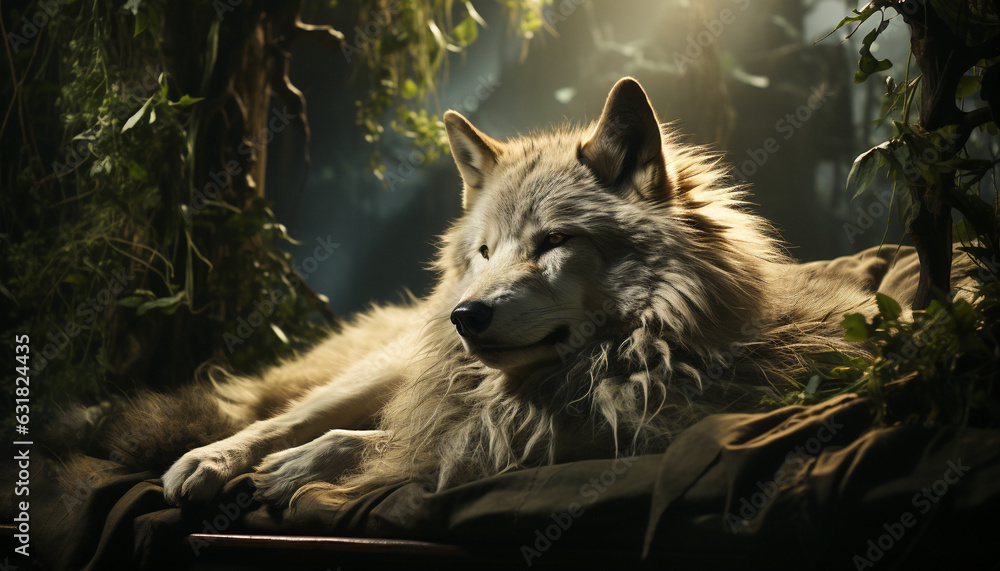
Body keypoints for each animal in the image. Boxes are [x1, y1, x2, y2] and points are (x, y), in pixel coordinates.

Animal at [103, 77, 884, 509]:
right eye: (484, 253)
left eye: (553, 242)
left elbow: (396, 442)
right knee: (275, 411)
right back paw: (204, 459)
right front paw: (278, 459)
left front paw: (311, 465)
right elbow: (366, 432)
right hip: (384, 367)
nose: (463, 316)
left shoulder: (601, 429)